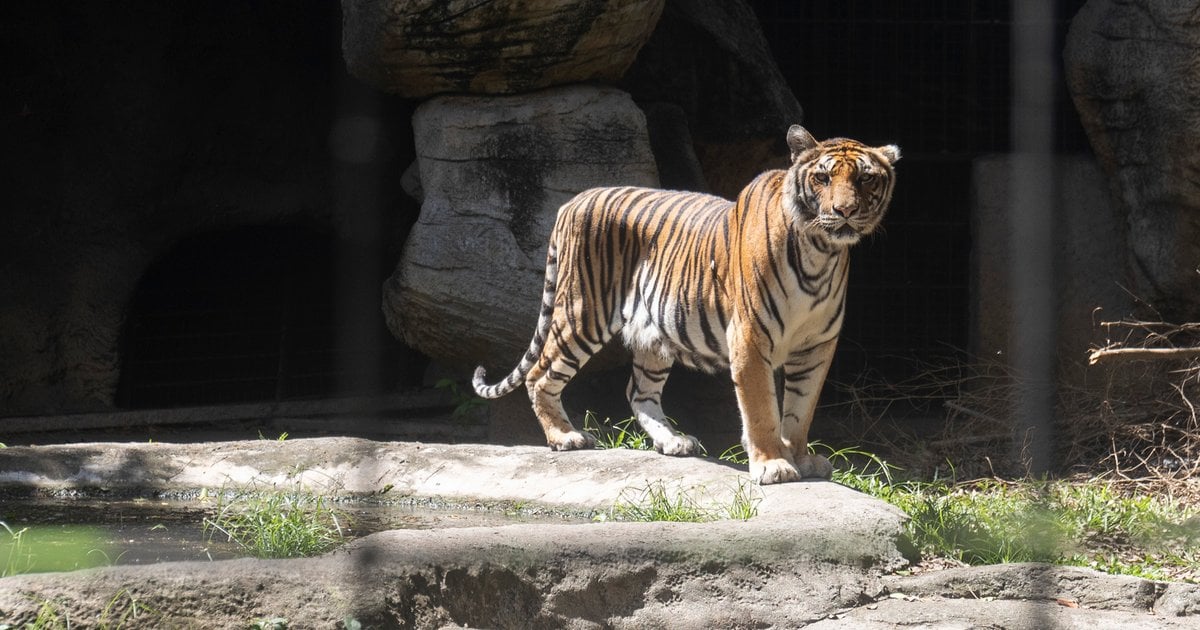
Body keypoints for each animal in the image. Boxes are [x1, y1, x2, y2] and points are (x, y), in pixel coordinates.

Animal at [473, 125, 900, 484]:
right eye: (822, 177)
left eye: (865, 178)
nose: (844, 211)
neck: (820, 251)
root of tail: (574, 200)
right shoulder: (750, 337)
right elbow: (762, 408)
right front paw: (773, 464)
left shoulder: (816, 346)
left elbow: (800, 409)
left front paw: (800, 457)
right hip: (583, 311)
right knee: (540, 374)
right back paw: (565, 437)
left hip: (652, 337)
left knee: (638, 391)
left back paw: (673, 441)